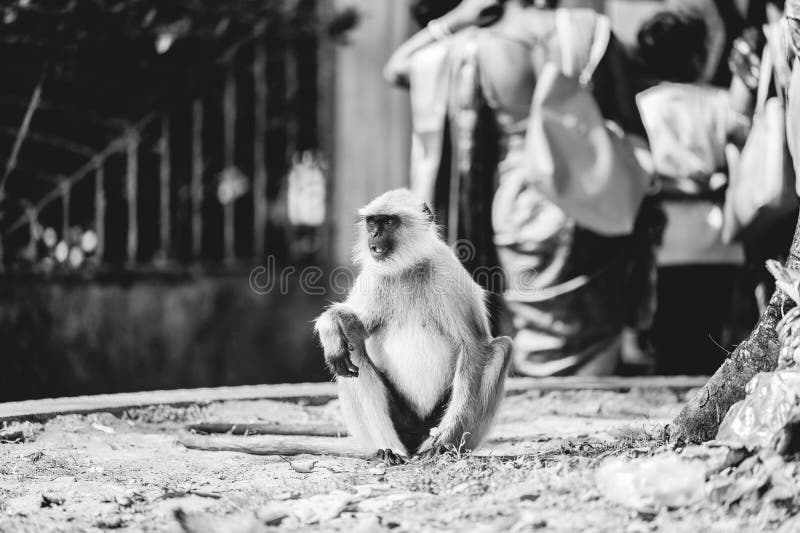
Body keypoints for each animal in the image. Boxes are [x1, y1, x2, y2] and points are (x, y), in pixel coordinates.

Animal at [314, 188, 512, 464]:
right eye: (372, 222)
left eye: (388, 221)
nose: (373, 235)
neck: (407, 267)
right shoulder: (374, 277)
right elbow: (355, 325)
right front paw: (330, 325)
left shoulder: (447, 272)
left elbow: (473, 345)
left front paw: (445, 439)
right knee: (350, 347)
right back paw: (389, 448)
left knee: (501, 347)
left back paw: (445, 446)